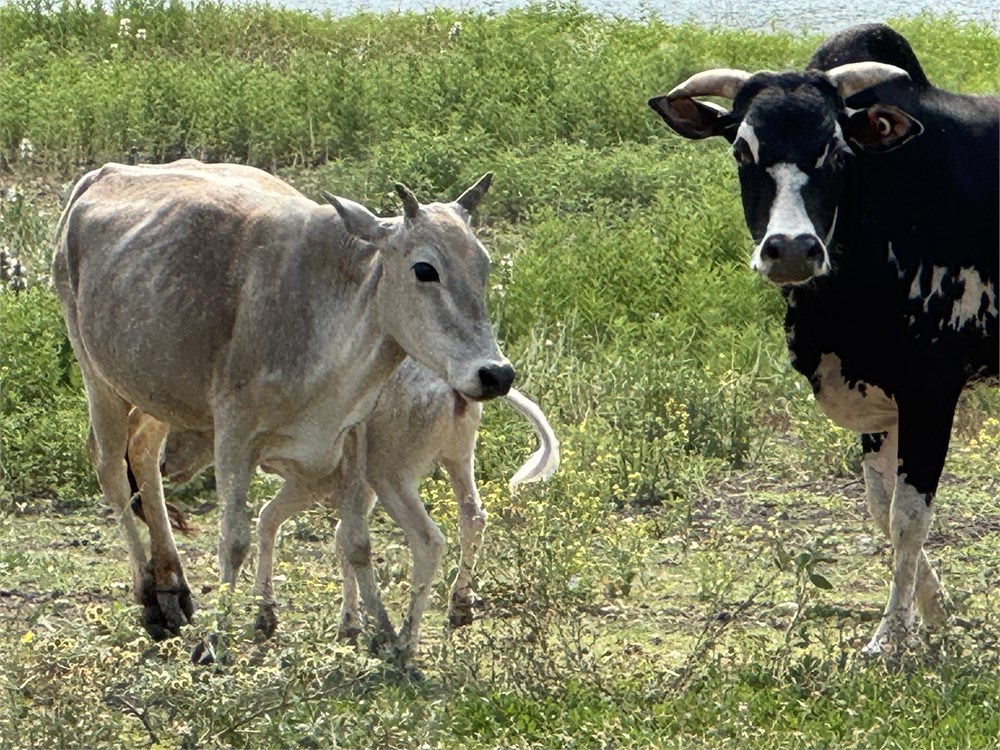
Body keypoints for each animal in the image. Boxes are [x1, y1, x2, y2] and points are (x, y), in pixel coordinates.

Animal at [52, 159, 514, 658]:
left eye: (483, 263)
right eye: (425, 268)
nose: (497, 374)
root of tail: (103, 173)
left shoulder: (352, 441)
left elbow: (356, 543)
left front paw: (385, 633)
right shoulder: (233, 436)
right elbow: (233, 540)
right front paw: (214, 640)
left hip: (159, 392)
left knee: (143, 457)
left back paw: (173, 587)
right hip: (97, 373)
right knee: (111, 470)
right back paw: (150, 600)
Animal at [125, 357, 559, 656]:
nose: (166, 465)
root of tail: (452, 388)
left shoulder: (315, 476)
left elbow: (276, 522)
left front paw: (264, 620)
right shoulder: (342, 482)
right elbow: (331, 536)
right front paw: (343, 624)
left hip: (391, 473)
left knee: (430, 539)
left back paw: (404, 639)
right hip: (456, 457)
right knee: (473, 517)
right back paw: (459, 607)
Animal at [649, 24, 998, 655]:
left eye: (836, 150)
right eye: (742, 150)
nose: (791, 249)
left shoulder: (931, 388)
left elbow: (909, 517)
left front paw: (890, 638)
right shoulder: (878, 397)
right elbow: (881, 509)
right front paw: (933, 614)